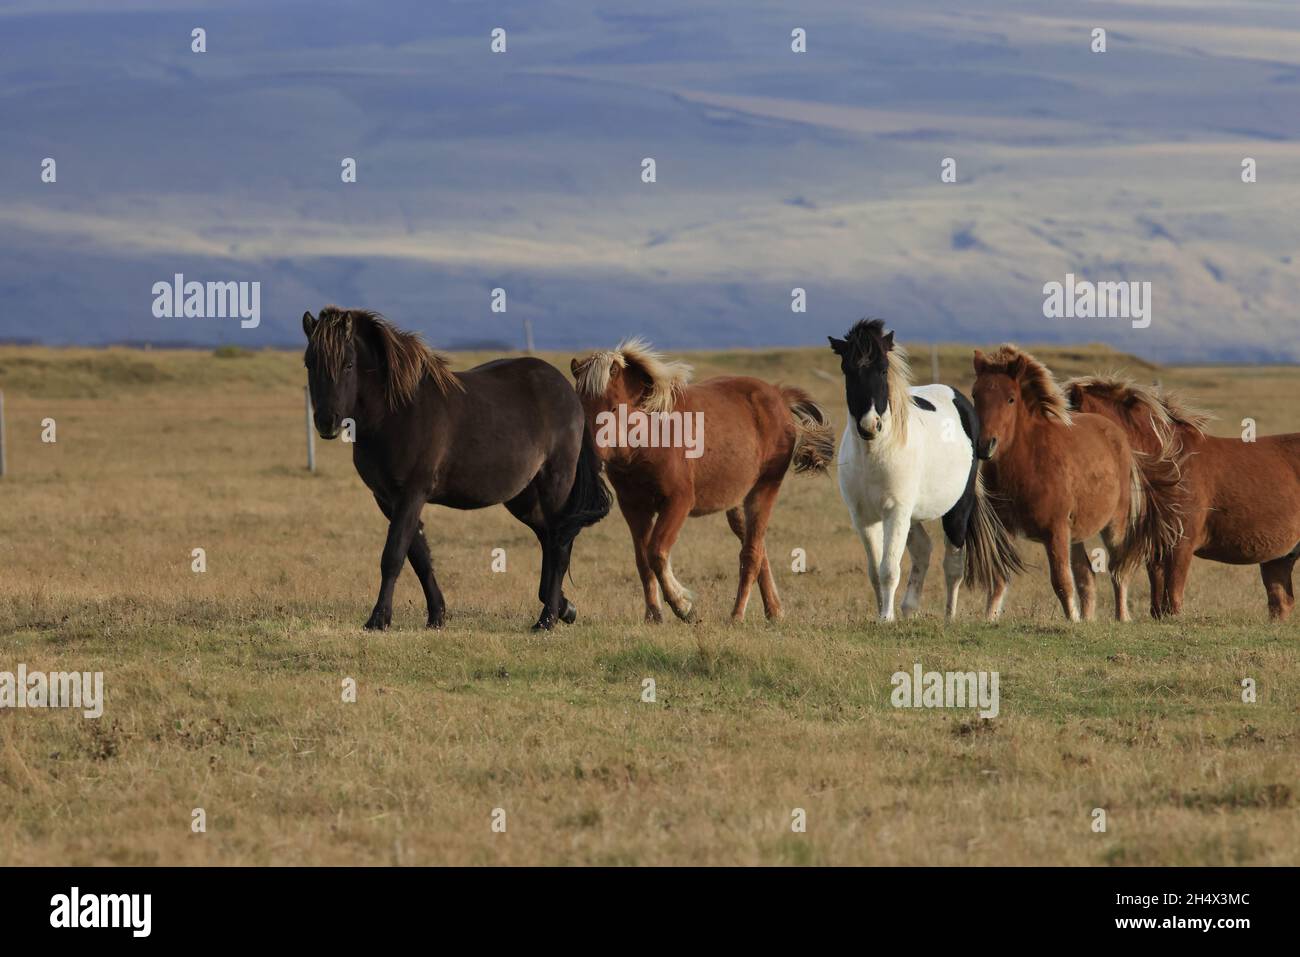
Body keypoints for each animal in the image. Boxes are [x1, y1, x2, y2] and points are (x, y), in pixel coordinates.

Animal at [302, 306, 611, 631]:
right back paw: (563, 607)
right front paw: (436, 615)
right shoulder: (387, 499)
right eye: (309, 363)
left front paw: (379, 618)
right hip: (523, 497)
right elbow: (419, 557)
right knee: (549, 538)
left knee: (560, 545)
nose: (327, 421)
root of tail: (567, 390)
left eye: (348, 364)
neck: (397, 413)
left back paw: (547, 619)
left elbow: (394, 555)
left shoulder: (412, 494)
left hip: (555, 484)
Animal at [570, 338, 834, 623]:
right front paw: (654, 615)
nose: (589, 456)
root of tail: (778, 394)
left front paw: (683, 606)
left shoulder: (678, 502)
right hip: (738, 503)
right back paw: (774, 611)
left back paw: (737, 615)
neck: (650, 437)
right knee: (757, 549)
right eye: (580, 405)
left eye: (612, 407)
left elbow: (656, 553)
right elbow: (643, 561)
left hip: (764, 489)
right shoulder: (633, 507)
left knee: (751, 554)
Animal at [831, 320, 1024, 621]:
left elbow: (889, 569)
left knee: (953, 564)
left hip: (957, 511)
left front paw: (886, 619)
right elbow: (875, 571)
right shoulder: (863, 517)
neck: (876, 451)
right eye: (848, 370)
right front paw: (882, 613)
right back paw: (909, 608)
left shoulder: (896, 511)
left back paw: (948, 616)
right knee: (924, 550)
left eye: (883, 370)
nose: (869, 425)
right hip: (913, 516)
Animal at [971, 346, 1181, 621]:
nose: (985, 446)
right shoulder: (1003, 529)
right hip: (1075, 535)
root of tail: (1117, 433)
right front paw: (989, 619)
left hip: (1113, 527)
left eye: (1010, 399)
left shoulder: (1055, 530)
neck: (1028, 464)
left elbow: (1061, 581)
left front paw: (1072, 620)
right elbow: (998, 578)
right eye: (975, 395)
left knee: (1118, 570)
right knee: (1087, 576)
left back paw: (1122, 616)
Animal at [1065, 374, 1300, 620]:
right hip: (1278, 559)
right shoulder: (1158, 545)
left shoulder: (1182, 544)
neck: (1168, 461)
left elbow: (1173, 598)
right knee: (1281, 603)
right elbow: (1158, 600)